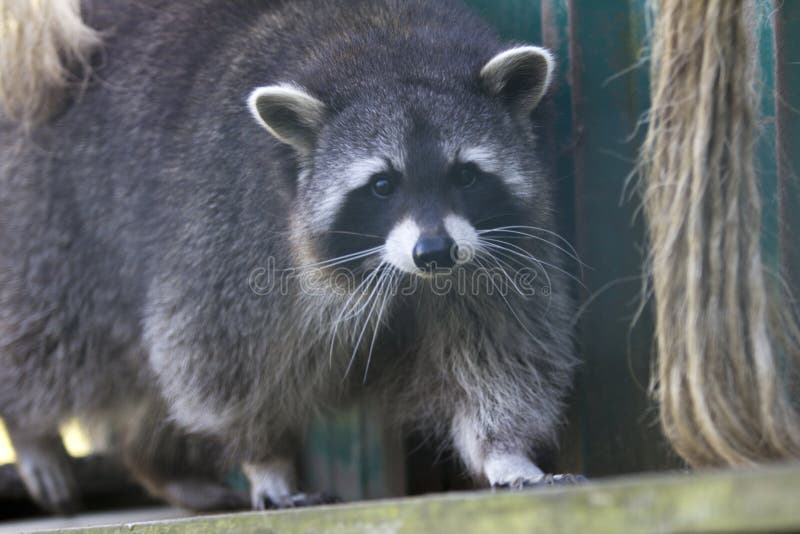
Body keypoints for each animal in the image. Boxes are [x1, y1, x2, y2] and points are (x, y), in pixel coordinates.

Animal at [0, 0, 577, 513]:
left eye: (466, 175)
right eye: (382, 185)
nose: (434, 252)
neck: (388, 48)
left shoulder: (495, 257)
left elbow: (496, 352)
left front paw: (506, 451)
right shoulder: (227, 230)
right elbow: (217, 362)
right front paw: (266, 459)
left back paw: (161, 466)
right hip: (47, 220)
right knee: (49, 333)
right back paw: (30, 430)